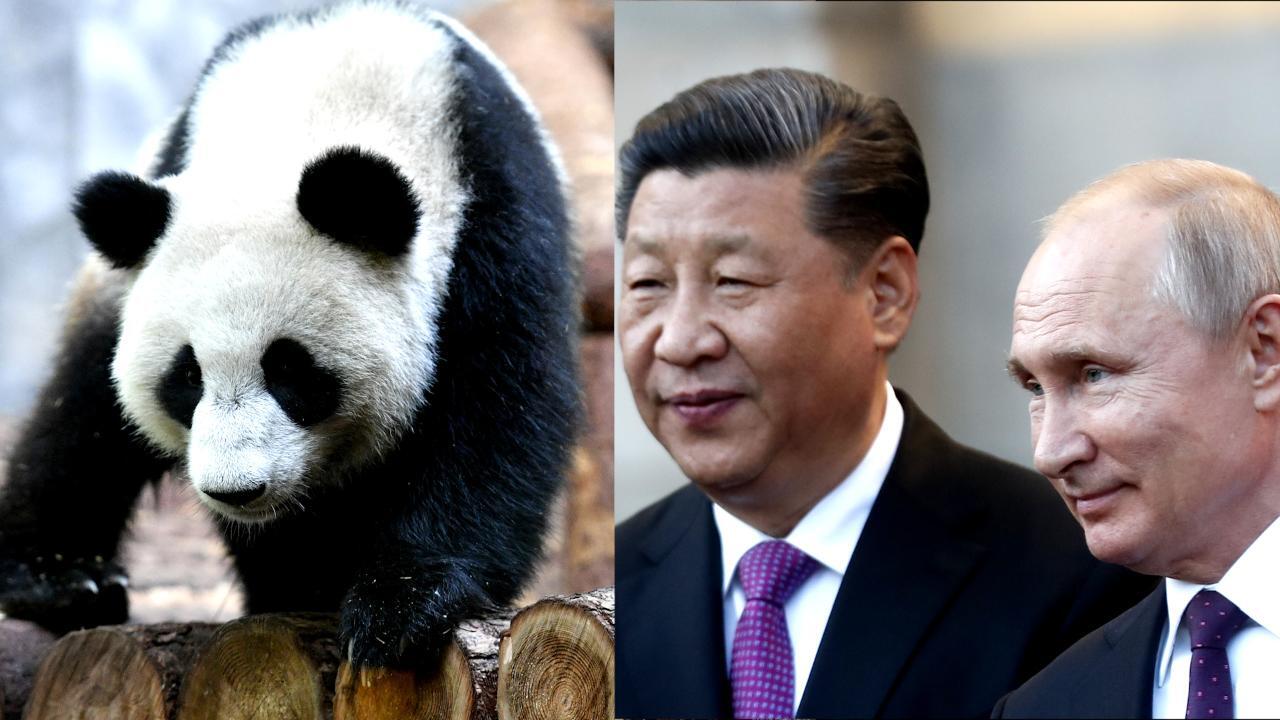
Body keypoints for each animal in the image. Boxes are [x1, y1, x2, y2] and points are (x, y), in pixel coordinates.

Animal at [0, 0, 577, 670]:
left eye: (290, 370)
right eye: (186, 376)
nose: (236, 490)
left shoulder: (492, 216)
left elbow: (495, 412)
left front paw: (402, 605)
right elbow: (94, 409)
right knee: (80, 406)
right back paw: (67, 580)